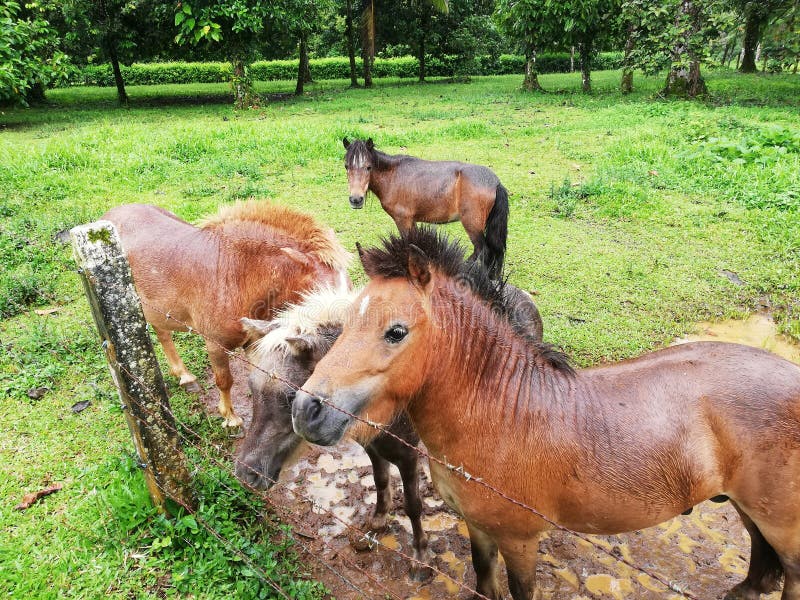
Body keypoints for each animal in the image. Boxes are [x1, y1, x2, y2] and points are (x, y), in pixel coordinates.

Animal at [102, 201, 350, 427]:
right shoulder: (215, 344)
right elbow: (224, 380)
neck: (236, 274)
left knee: (162, 333)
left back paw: (184, 376)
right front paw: (231, 419)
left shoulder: (253, 341)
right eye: (318, 295)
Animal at [235, 280, 543, 581]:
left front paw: (421, 559)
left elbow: (413, 505)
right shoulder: (373, 447)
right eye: (251, 387)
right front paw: (375, 525)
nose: (247, 473)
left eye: (290, 396)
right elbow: (380, 481)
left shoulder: (408, 455)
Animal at [292, 226, 800, 600]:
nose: (306, 408)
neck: (501, 418)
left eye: (396, 332)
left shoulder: (520, 541)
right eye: (345, 323)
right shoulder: (479, 529)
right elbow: (484, 584)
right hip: (749, 508)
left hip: (785, 528)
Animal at [343, 137, 508, 279]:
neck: (392, 176)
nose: (356, 199)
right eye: (346, 166)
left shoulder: (403, 220)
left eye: (368, 167)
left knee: (483, 251)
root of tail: (495, 182)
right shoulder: (411, 221)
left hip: (472, 225)